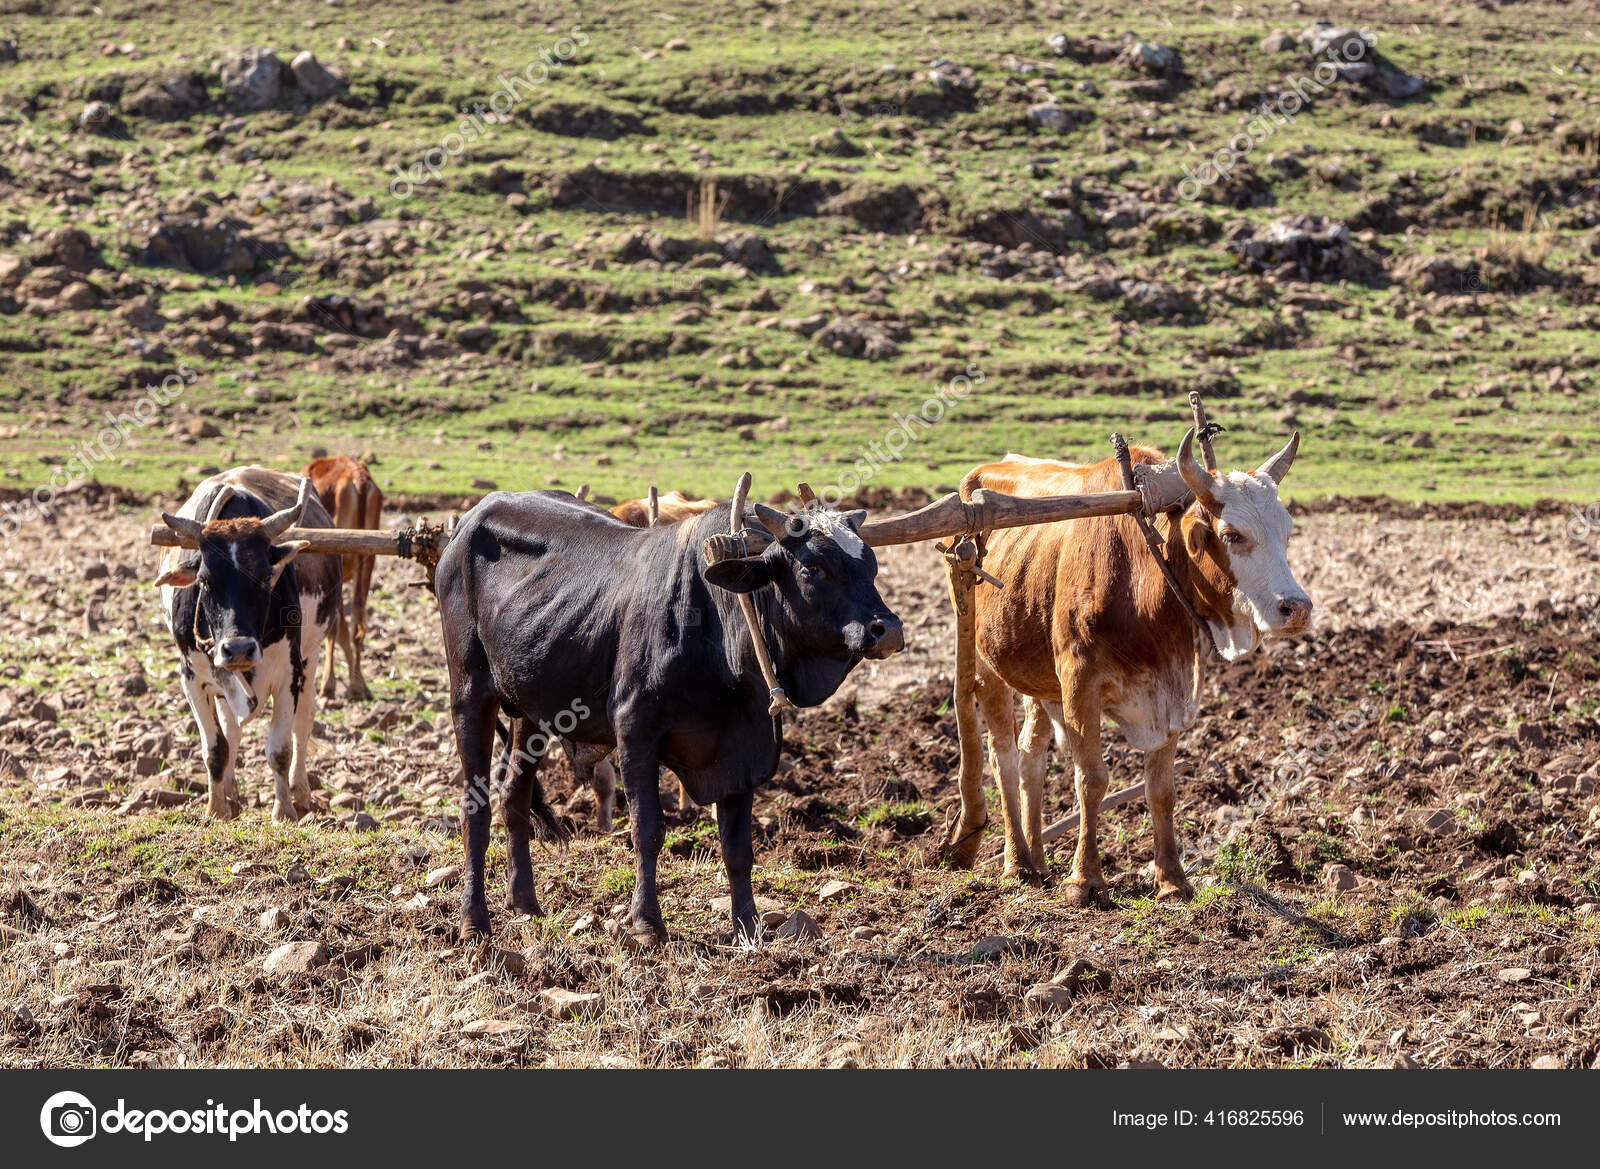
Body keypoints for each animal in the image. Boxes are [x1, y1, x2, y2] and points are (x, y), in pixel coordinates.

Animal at [153, 467, 341, 823]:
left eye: (266, 577)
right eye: (205, 580)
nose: (238, 649)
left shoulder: (287, 675)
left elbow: (279, 749)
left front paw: (284, 810)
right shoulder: (191, 678)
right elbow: (216, 748)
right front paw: (216, 808)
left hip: (310, 656)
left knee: (303, 720)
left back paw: (300, 791)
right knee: (231, 730)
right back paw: (230, 792)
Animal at [302, 455, 382, 702]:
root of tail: (359, 478)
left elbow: (336, 630)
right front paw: (361, 684)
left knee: (336, 627)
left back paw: (328, 684)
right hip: (368, 561)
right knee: (357, 621)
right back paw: (355, 686)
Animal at [435, 491, 904, 941]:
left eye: (871, 565)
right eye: (812, 567)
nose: (888, 629)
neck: (716, 624)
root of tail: (473, 516)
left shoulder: (744, 750)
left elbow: (738, 848)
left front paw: (748, 925)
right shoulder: (635, 732)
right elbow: (647, 830)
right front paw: (645, 924)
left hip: (530, 709)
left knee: (513, 797)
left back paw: (526, 904)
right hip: (470, 692)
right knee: (474, 808)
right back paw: (474, 921)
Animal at [942, 430, 1310, 904]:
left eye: (1287, 531)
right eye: (1232, 535)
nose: (1297, 608)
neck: (1143, 575)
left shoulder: (1171, 693)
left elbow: (1161, 789)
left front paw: (1172, 880)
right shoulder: (1079, 683)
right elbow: (1092, 779)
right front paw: (1085, 879)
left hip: (1037, 679)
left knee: (1030, 756)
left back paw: (1038, 859)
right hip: (987, 663)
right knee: (1002, 755)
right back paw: (1017, 863)